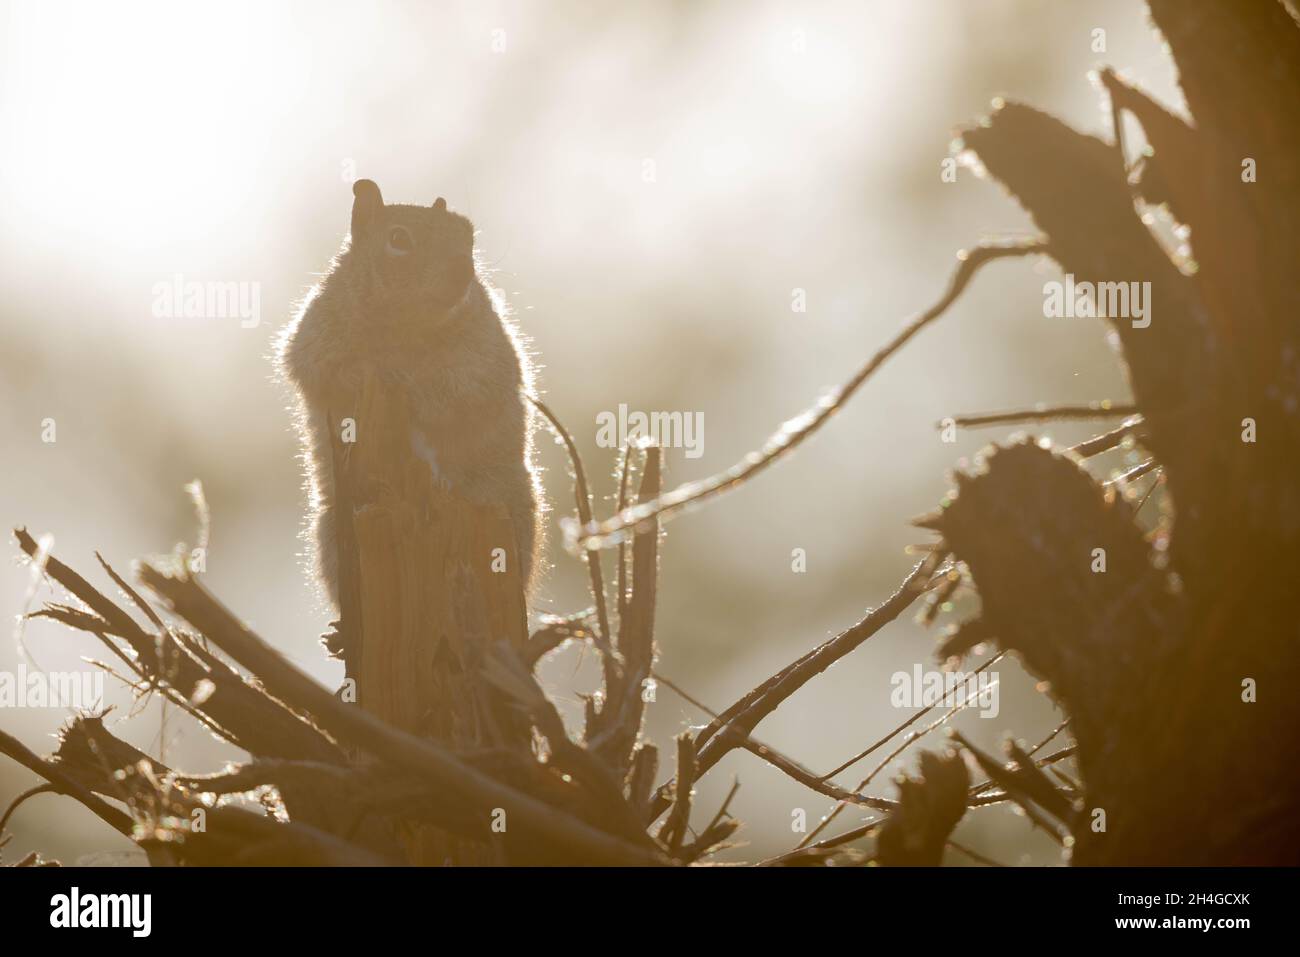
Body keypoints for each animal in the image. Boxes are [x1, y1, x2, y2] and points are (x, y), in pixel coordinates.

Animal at [275, 179, 544, 613]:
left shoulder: (487, 358)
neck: (404, 328)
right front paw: (363, 373)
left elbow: (464, 392)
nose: (462, 272)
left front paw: (408, 384)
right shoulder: (314, 338)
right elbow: (317, 372)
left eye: (468, 235)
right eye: (398, 239)